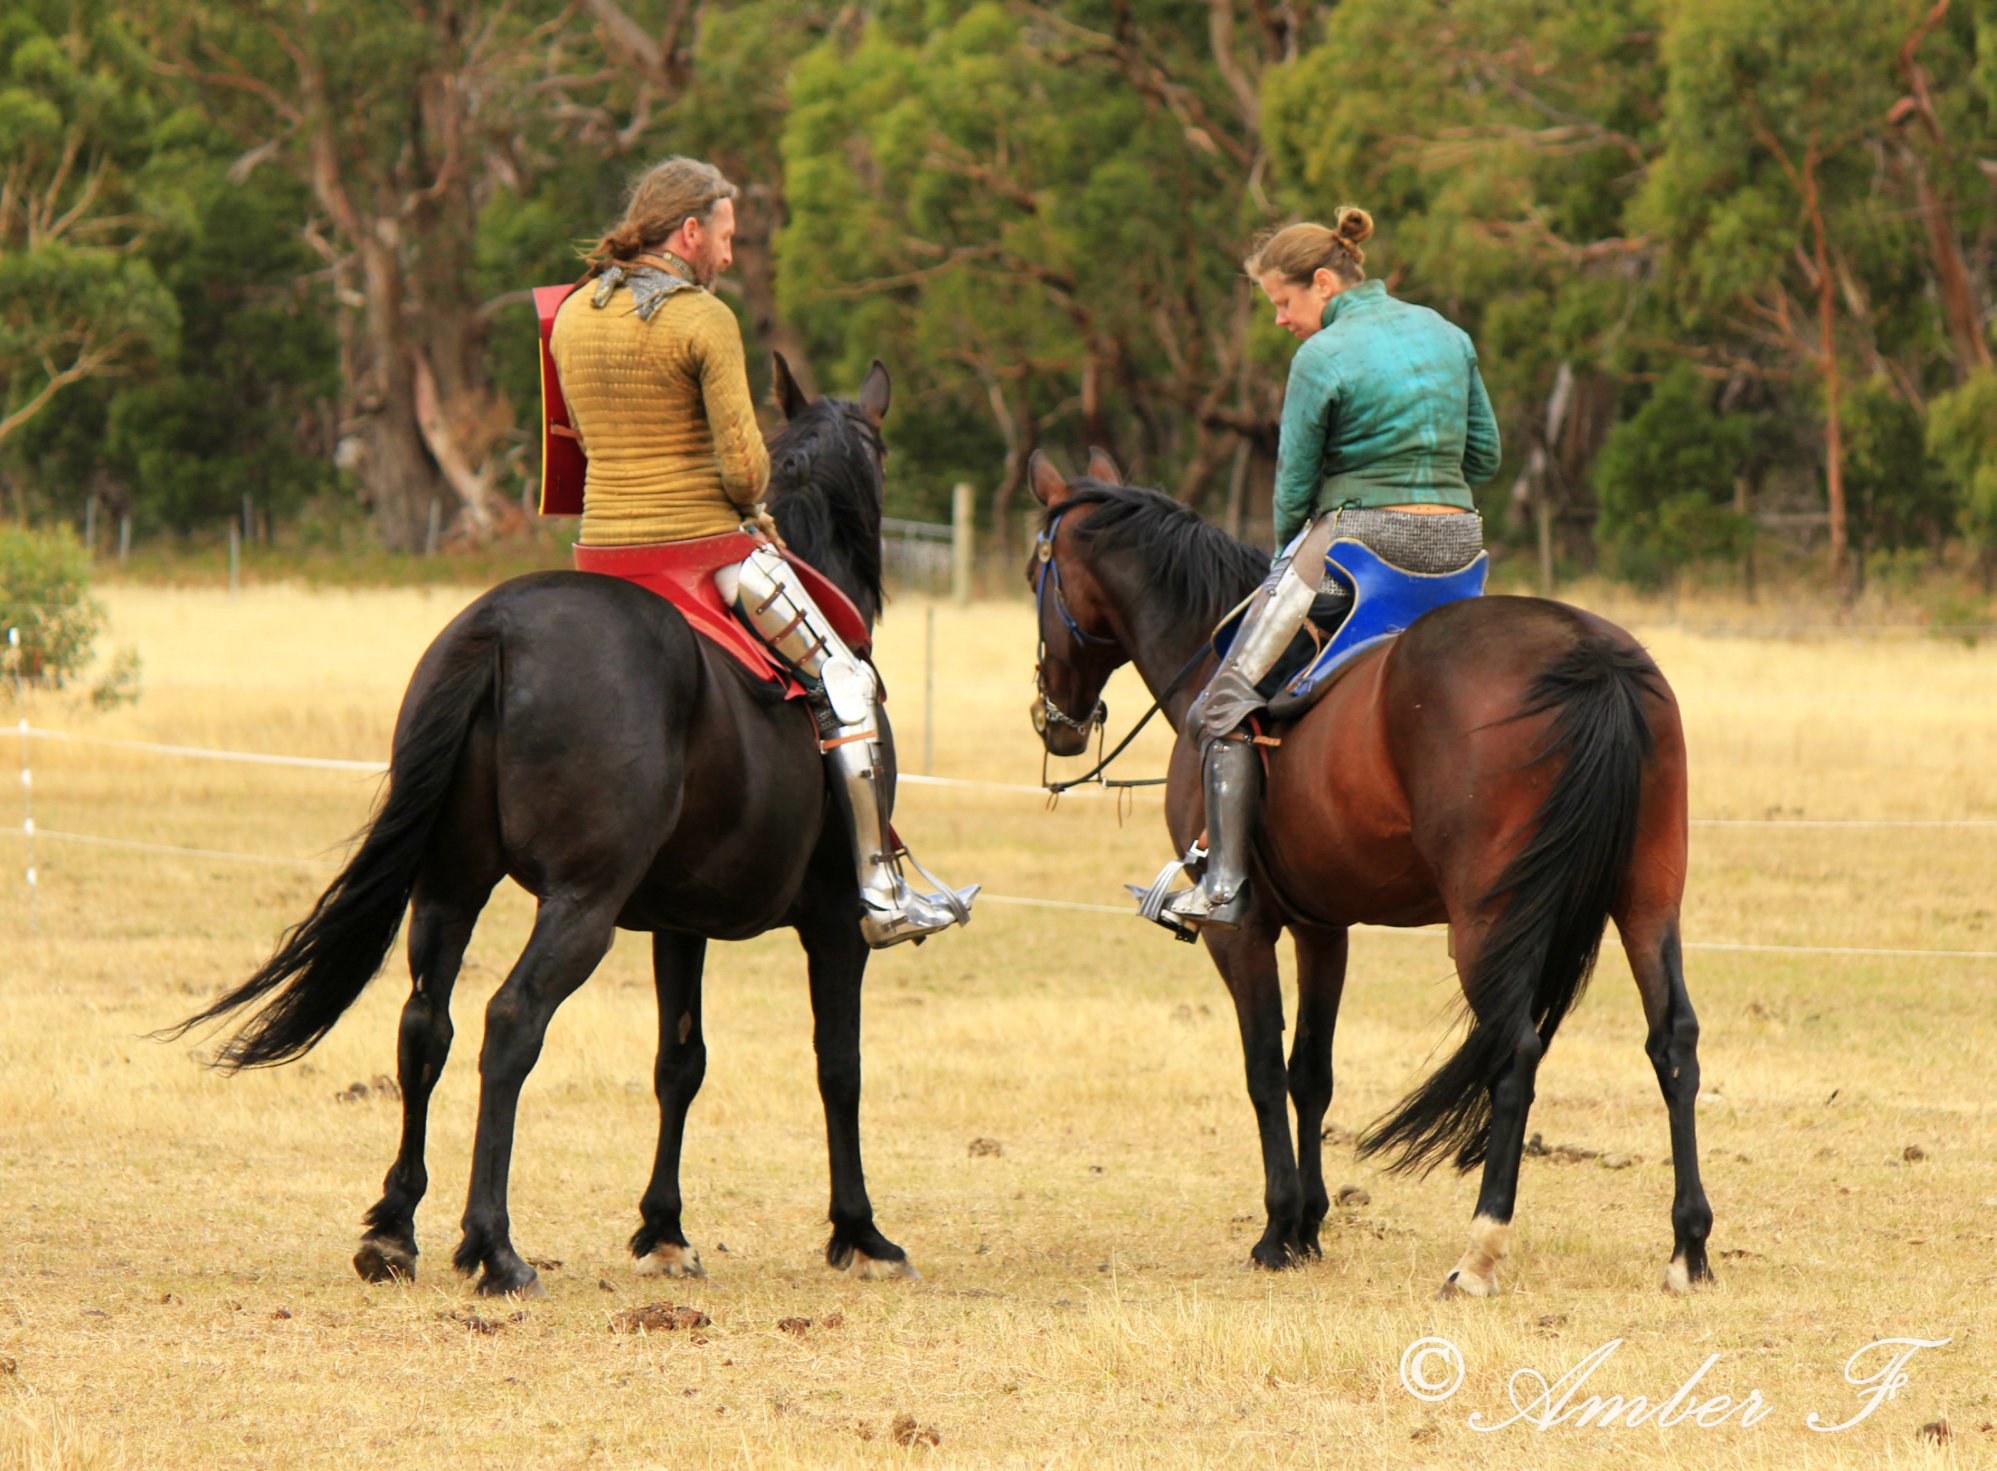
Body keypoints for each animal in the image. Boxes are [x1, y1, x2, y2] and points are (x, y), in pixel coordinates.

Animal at [167, 361, 924, 1298]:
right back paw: (493, 1244)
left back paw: (394, 1228)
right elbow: (838, 1065)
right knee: (509, 1021)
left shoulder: (678, 924)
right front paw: (860, 1230)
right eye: (882, 456)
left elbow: (680, 1062)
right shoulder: (833, 925)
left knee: (425, 1024)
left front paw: (663, 1229)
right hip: (579, 906)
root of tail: (498, 628)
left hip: (449, 888)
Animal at [1025, 449, 1712, 1297]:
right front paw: (1309, 1223)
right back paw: (1687, 1246)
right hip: (1645, 898)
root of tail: (1590, 654)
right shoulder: (1324, 927)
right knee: (1672, 1040)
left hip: (1486, 922)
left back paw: (1479, 1250)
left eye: (1036, 570)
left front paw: (1277, 1228)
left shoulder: (1242, 932)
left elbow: (1262, 1068)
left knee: (1515, 1049)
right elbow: (1309, 1072)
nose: (1054, 717)